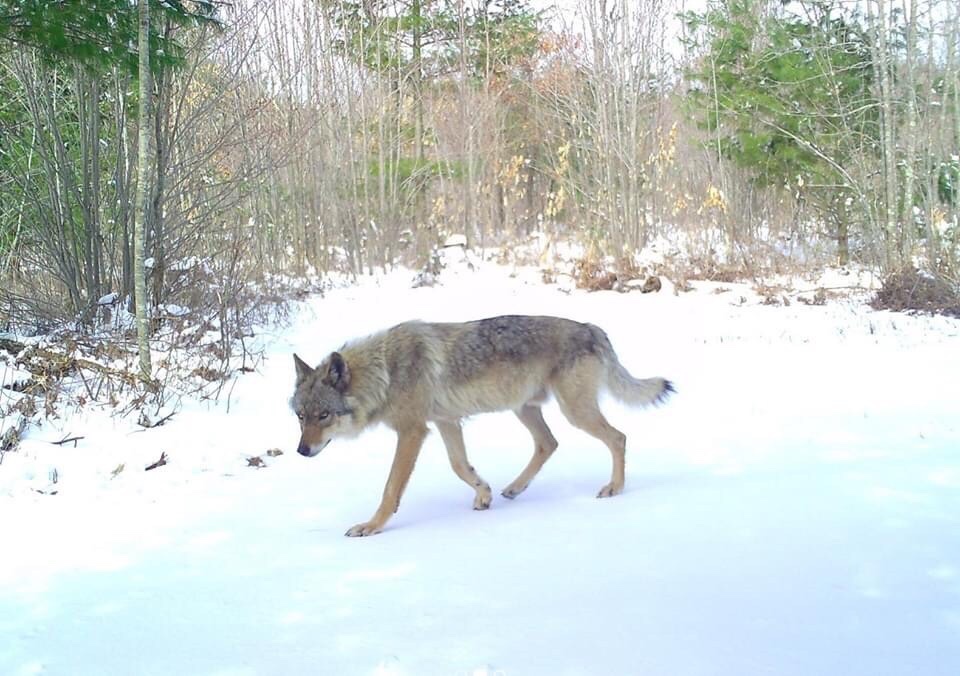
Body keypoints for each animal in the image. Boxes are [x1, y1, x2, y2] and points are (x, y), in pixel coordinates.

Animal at [291, 315, 673, 536]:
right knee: (548, 443)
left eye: (323, 415)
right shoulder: (446, 422)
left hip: (574, 412)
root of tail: (593, 328)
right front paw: (484, 493)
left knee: (618, 437)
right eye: (301, 416)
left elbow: (390, 489)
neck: (385, 371)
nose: (301, 450)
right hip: (526, 409)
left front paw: (371, 526)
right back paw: (514, 489)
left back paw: (614, 488)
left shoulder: (413, 431)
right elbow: (460, 466)